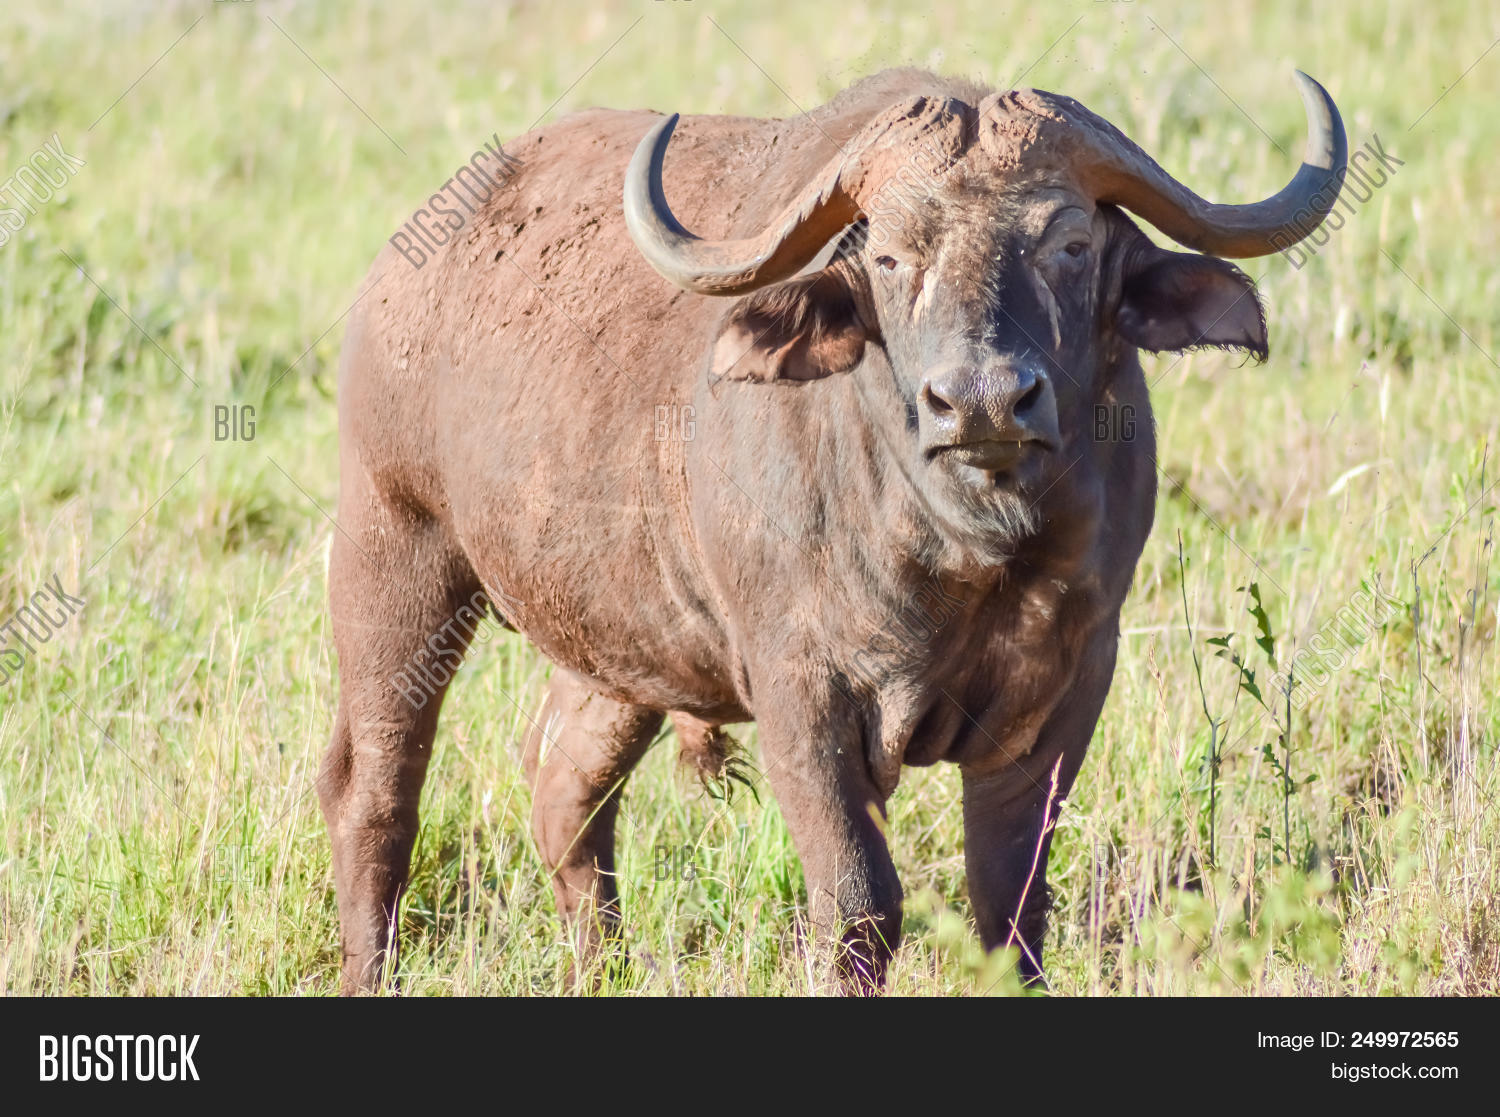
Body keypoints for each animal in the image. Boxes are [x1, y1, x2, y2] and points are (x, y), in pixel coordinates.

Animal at [318, 67, 1346, 993]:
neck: (965, 548)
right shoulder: (801, 692)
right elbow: (859, 904)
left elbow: (1009, 902)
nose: (982, 401)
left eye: (1068, 243)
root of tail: (405, 265)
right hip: (394, 549)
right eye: (890, 256)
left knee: (564, 783)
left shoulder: (1068, 686)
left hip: (619, 643)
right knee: (374, 789)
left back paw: (601, 968)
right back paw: (372, 969)